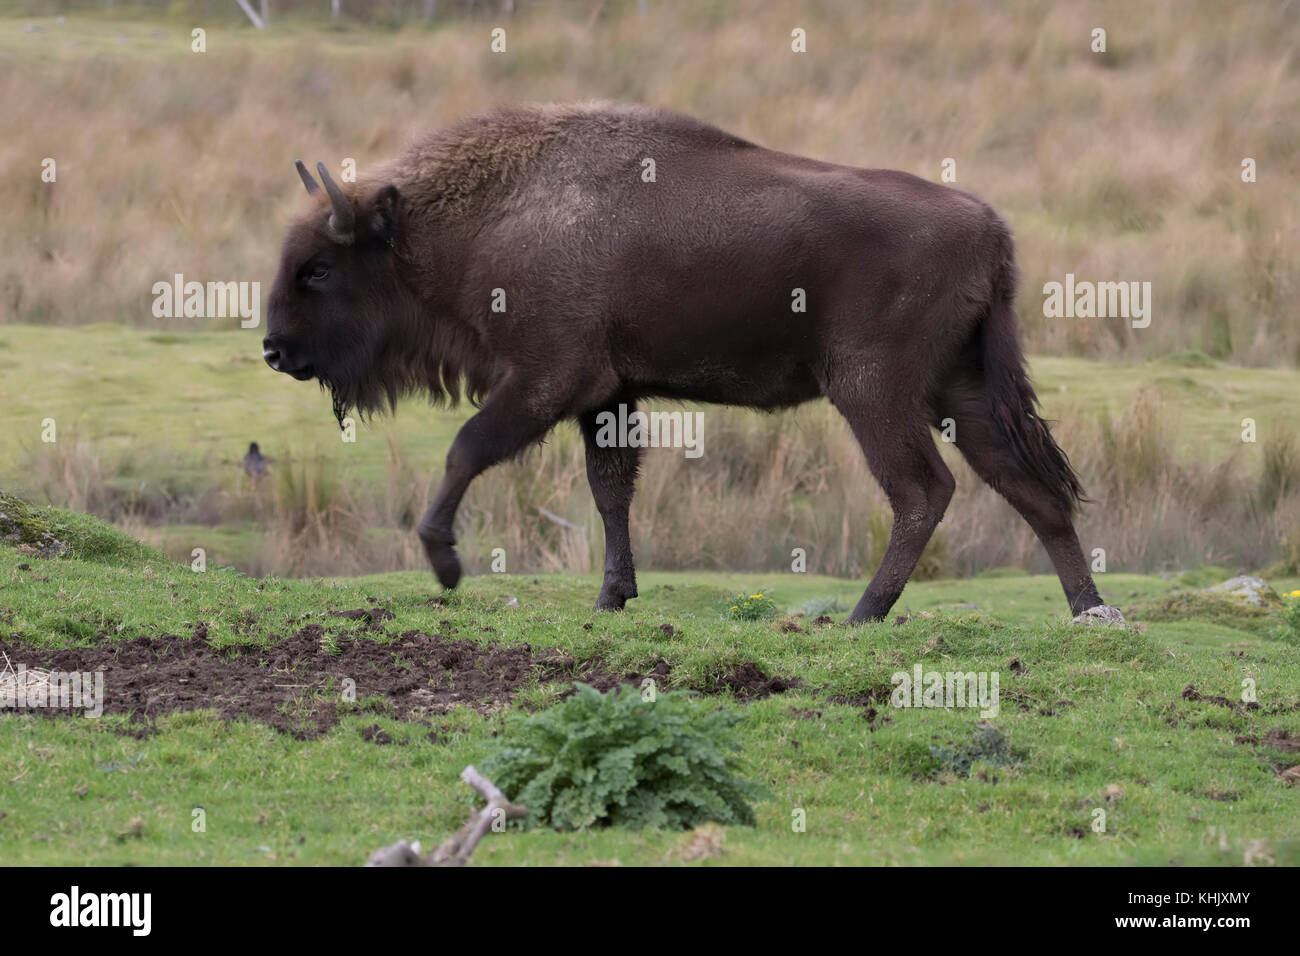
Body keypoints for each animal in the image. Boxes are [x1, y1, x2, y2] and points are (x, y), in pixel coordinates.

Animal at [264, 102, 1121, 626]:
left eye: (319, 268)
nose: (273, 349)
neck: (487, 215)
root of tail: (990, 227)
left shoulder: (548, 380)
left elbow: (468, 448)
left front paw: (442, 562)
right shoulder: (605, 397)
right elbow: (611, 492)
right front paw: (613, 597)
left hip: (874, 394)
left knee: (925, 491)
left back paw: (861, 615)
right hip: (960, 391)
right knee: (1032, 491)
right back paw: (1090, 611)